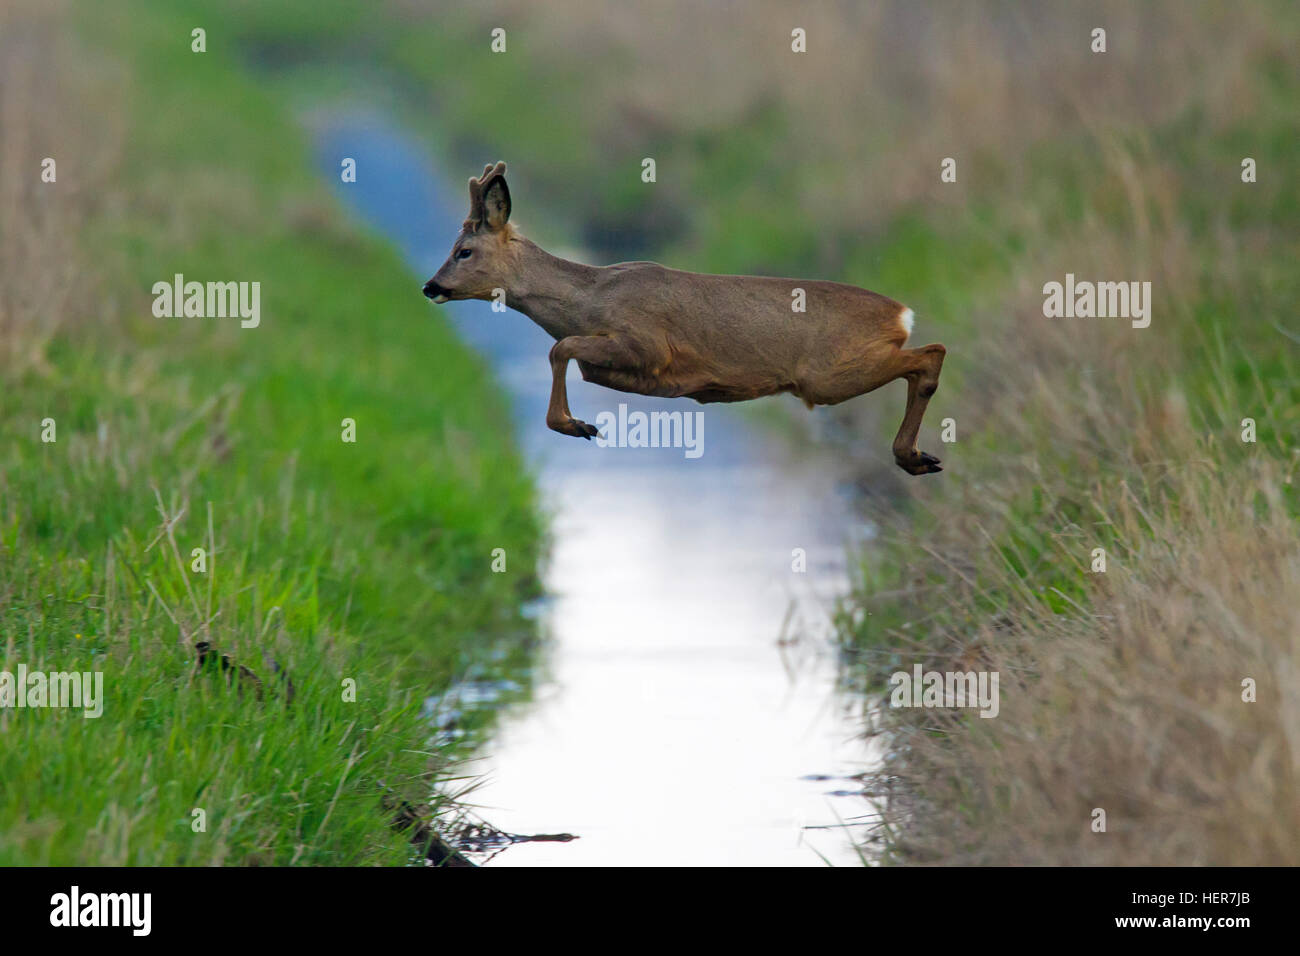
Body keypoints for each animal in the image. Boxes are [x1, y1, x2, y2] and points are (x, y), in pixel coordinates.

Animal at [423, 162, 947, 475]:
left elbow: (559, 348)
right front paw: (580, 423)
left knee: (930, 353)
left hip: (829, 374)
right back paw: (918, 457)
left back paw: (913, 456)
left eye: (464, 251)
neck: (587, 302)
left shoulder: (647, 344)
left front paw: (578, 425)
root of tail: (900, 312)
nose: (430, 286)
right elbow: (566, 352)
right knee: (927, 355)